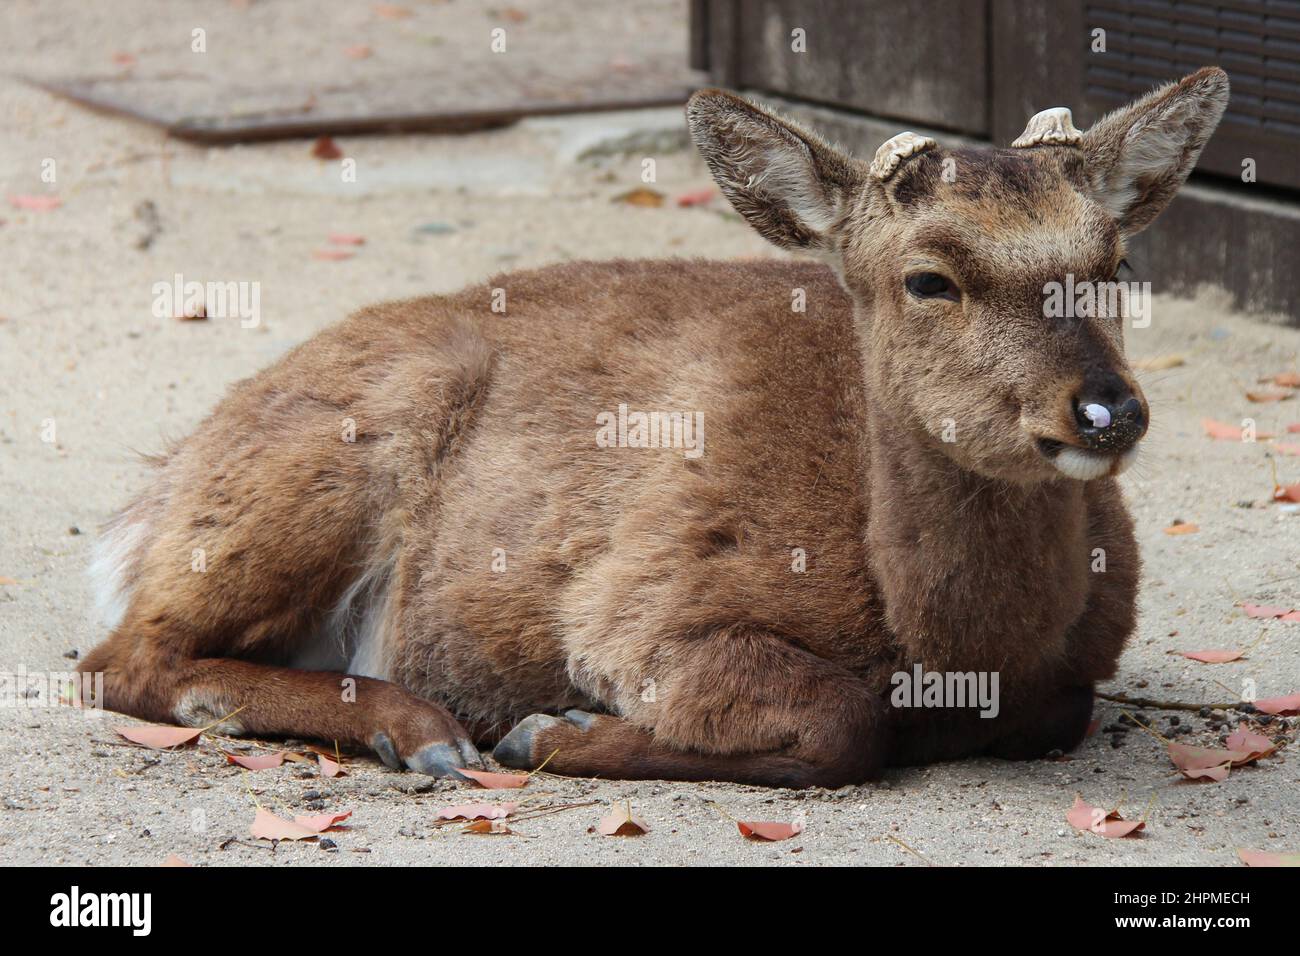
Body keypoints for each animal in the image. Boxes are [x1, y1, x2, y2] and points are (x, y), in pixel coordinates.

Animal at [79, 68, 1229, 788]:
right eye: (928, 278)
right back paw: (421, 729)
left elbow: (1062, 707)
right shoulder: (643, 604)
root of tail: (152, 491)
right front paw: (552, 727)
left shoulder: (1071, 671)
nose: (1106, 407)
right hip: (319, 464)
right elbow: (841, 719)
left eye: (1116, 260)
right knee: (120, 654)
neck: (949, 645)